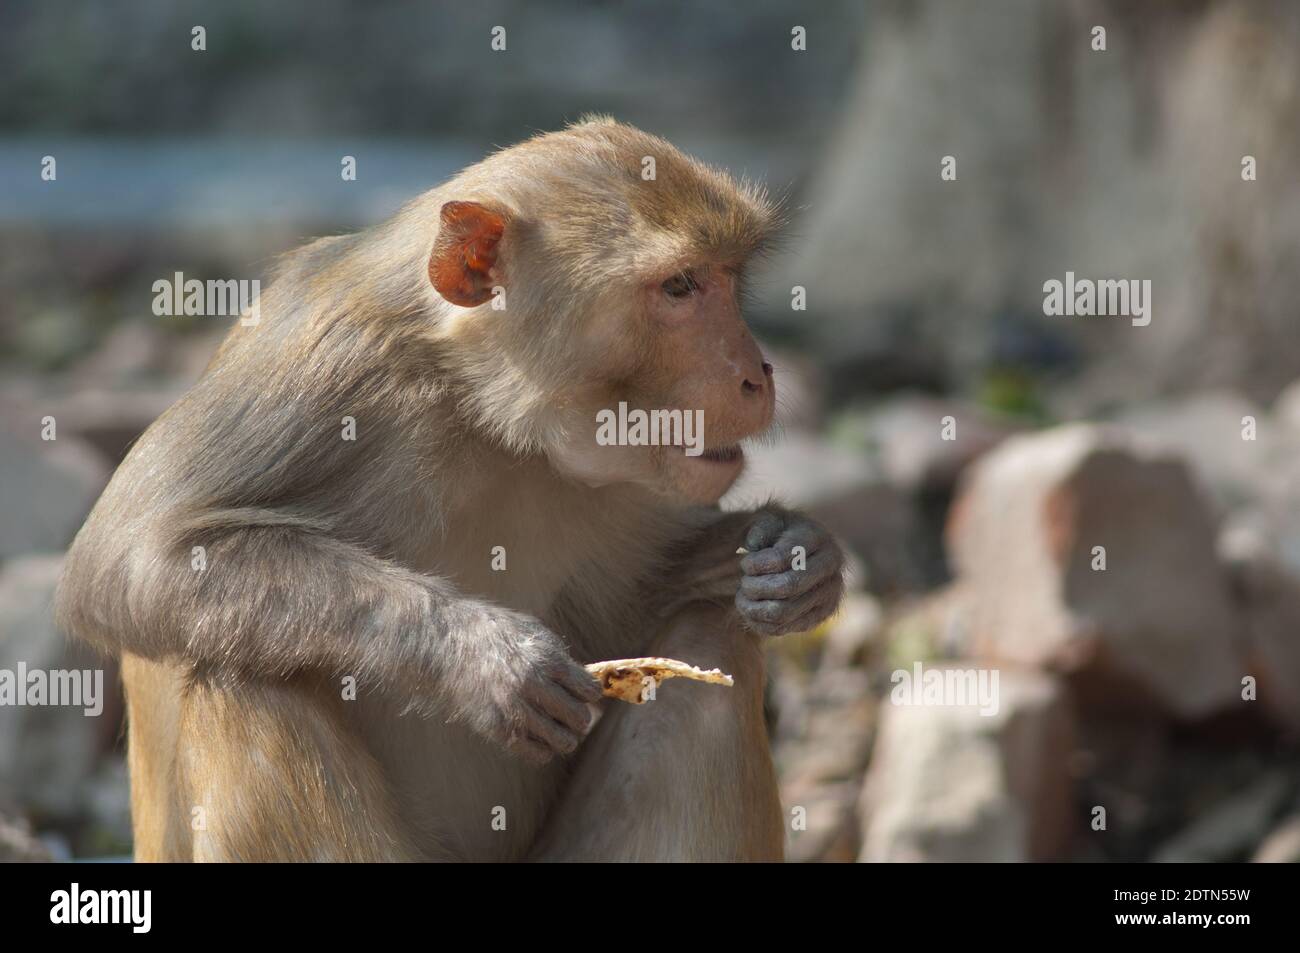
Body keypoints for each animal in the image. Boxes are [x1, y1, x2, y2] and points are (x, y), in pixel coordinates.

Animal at [55, 118, 845, 862]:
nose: (757, 372)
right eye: (680, 286)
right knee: (242, 672)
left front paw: (794, 559)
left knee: (709, 636)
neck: (482, 412)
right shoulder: (323, 366)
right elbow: (129, 555)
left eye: (730, 277)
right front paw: (484, 658)